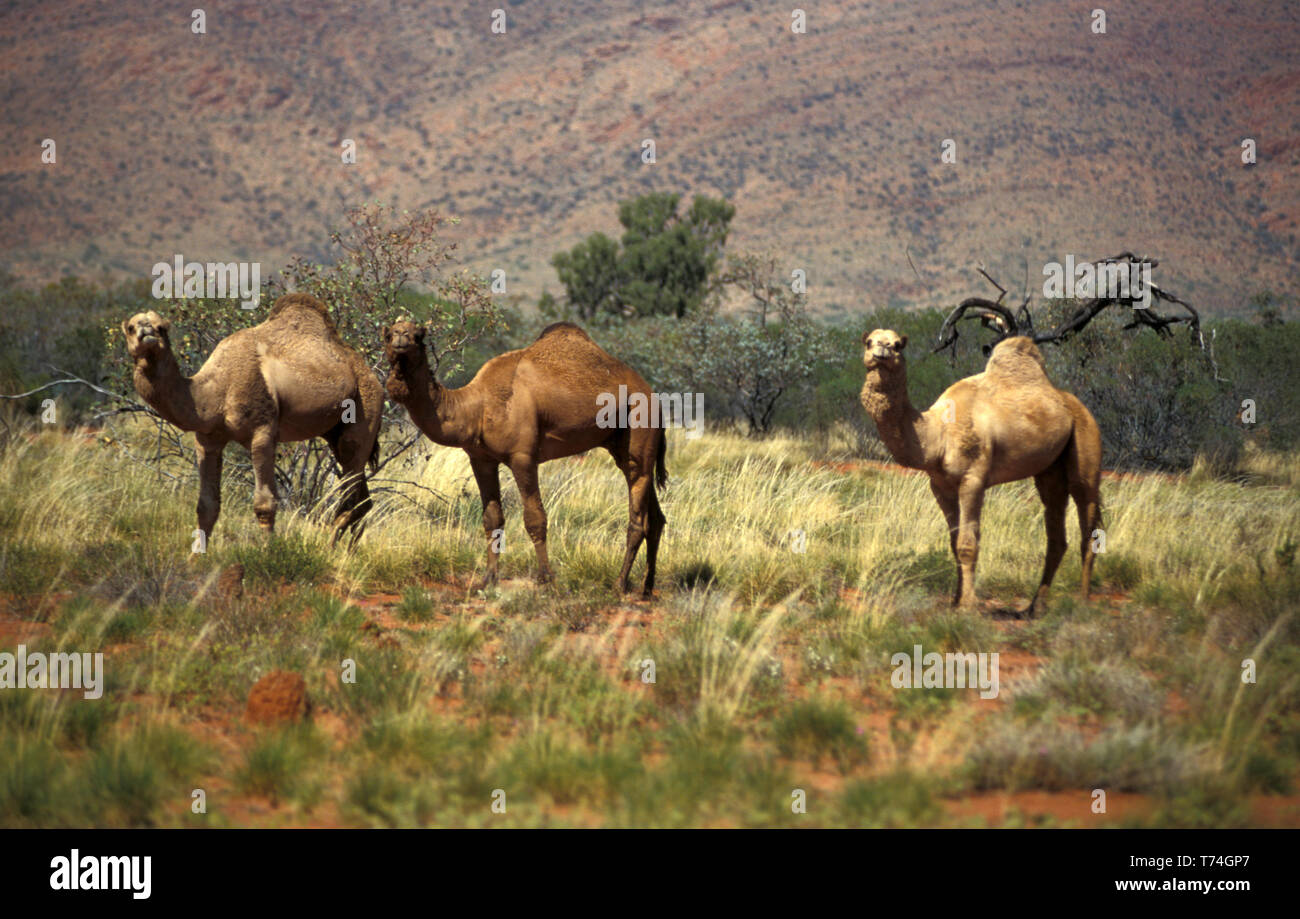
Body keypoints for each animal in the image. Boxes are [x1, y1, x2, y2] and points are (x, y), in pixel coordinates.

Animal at [121, 293, 384, 547]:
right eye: (131, 328)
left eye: (162, 328)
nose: (147, 332)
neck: (215, 391)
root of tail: (370, 373)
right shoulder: (207, 439)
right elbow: (206, 506)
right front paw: (195, 556)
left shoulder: (263, 432)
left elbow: (264, 504)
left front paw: (269, 553)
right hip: (335, 432)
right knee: (362, 499)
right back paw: (347, 551)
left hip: (365, 408)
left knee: (352, 486)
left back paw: (331, 547)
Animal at [383, 319, 667, 596]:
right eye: (388, 334)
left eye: (418, 335)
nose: (400, 336)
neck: (477, 407)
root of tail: (653, 394)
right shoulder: (481, 459)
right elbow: (492, 518)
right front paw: (488, 579)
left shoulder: (523, 457)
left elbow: (534, 519)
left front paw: (546, 580)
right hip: (622, 445)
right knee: (655, 517)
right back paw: (646, 587)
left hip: (639, 428)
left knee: (637, 517)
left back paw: (619, 584)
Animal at [859, 329, 1101, 616]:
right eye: (869, 342)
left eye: (897, 345)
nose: (882, 351)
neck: (938, 433)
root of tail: (1078, 406)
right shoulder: (940, 487)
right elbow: (953, 542)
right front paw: (955, 600)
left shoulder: (973, 480)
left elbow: (967, 543)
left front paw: (969, 605)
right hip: (1050, 471)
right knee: (1056, 533)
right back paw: (1035, 606)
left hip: (1086, 446)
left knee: (1088, 522)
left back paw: (1083, 602)